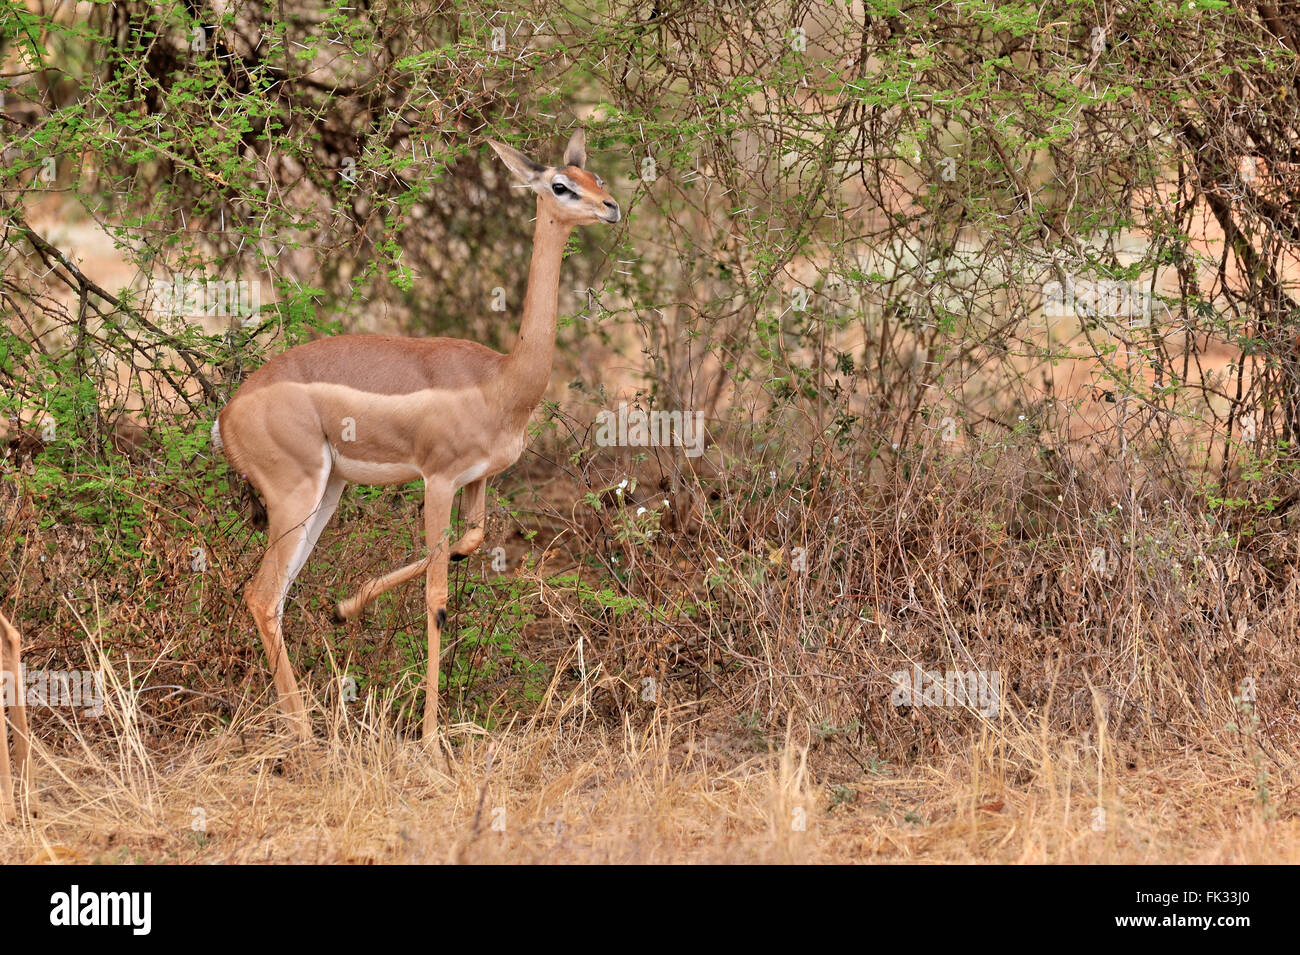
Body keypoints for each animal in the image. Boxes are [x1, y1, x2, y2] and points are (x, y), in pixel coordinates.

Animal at [213, 130, 619, 744]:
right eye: (560, 185)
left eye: (592, 177)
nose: (611, 207)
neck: (501, 381)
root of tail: (229, 412)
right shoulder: (438, 479)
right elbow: (437, 596)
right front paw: (430, 737)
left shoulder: (477, 482)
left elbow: (469, 543)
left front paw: (345, 606)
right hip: (295, 494)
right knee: (261, 596)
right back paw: (305, 734)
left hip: (327, 493)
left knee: (276, 597)